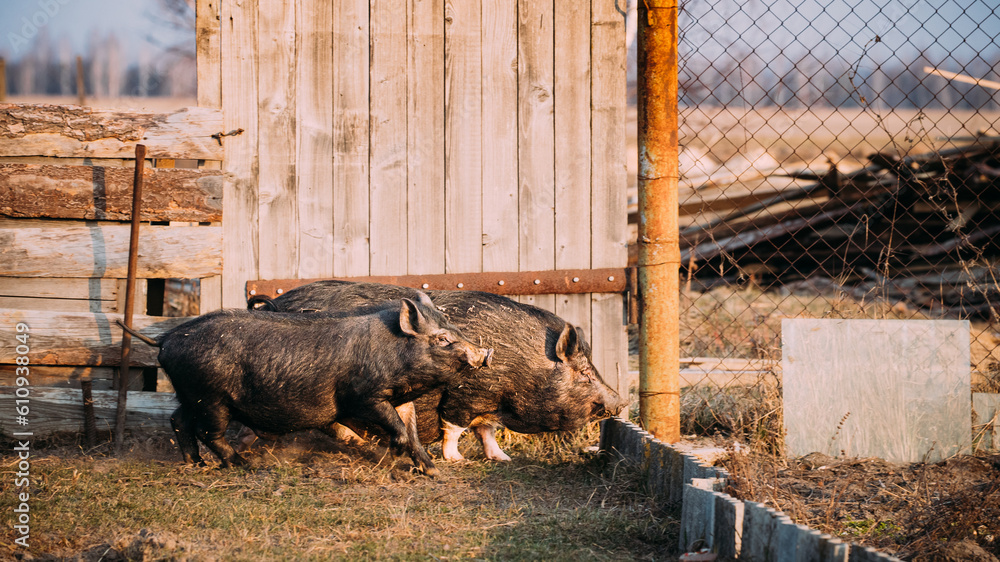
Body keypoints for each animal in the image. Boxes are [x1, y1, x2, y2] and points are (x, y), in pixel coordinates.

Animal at [117, 297, 493, 476]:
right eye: (442, 339)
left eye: (454, 330)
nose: (485, 352)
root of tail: (165, 340)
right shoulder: (365, 396)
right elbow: (396, 428)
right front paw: (395, 455)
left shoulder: (402, 399)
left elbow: (412, 431)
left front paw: (432, 471)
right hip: (211, 397)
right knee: (209, 432)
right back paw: (244, 465)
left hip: (189, 394)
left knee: (178, 420)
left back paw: (196, 465)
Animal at [249, 281, 628, 461]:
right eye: (584, 373)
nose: (621, 401)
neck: (522, 366)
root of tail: (273, 304)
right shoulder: (466, 394)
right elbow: (455, 426)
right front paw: (456, 460)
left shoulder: (490, 404)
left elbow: (486, 430)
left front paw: (502, 459)